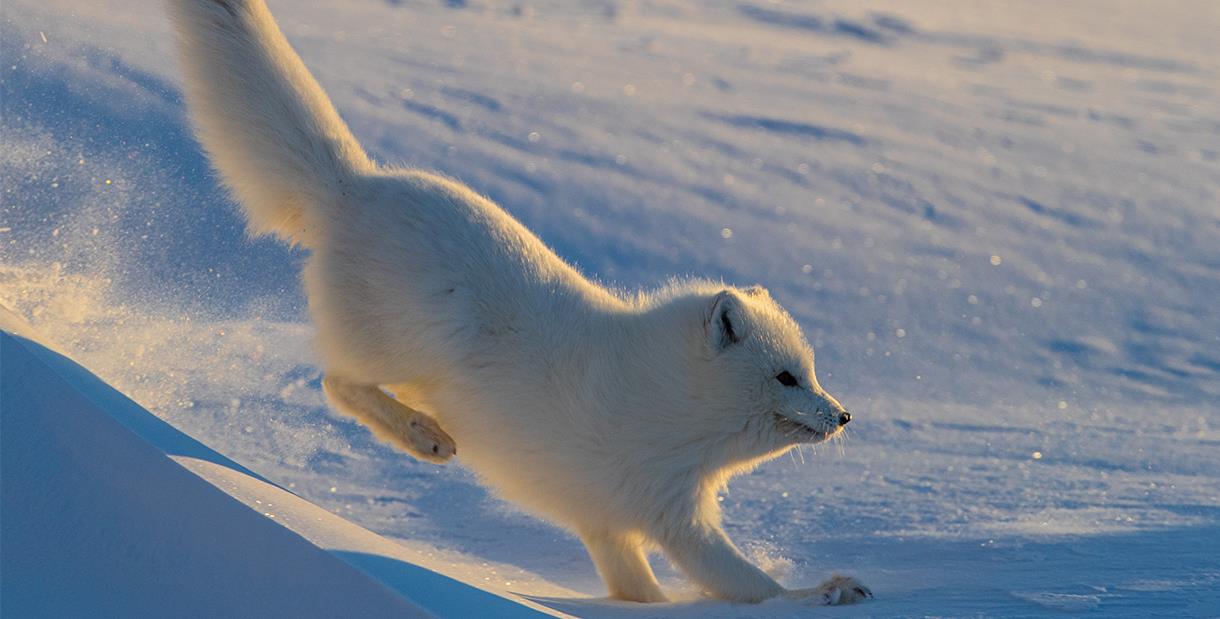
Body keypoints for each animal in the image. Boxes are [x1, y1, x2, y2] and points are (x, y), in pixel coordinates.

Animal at [168, 0, 870, 606]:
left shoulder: (606, 520)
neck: (666, 397)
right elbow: (745, 584)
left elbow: (636, 589)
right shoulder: (672, 509)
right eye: (787, 377)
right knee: (336, 381)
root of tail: (354, 187)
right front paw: (826, 592)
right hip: (404, 344)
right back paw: (427, 438)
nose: (842, 416)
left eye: (812, 372)